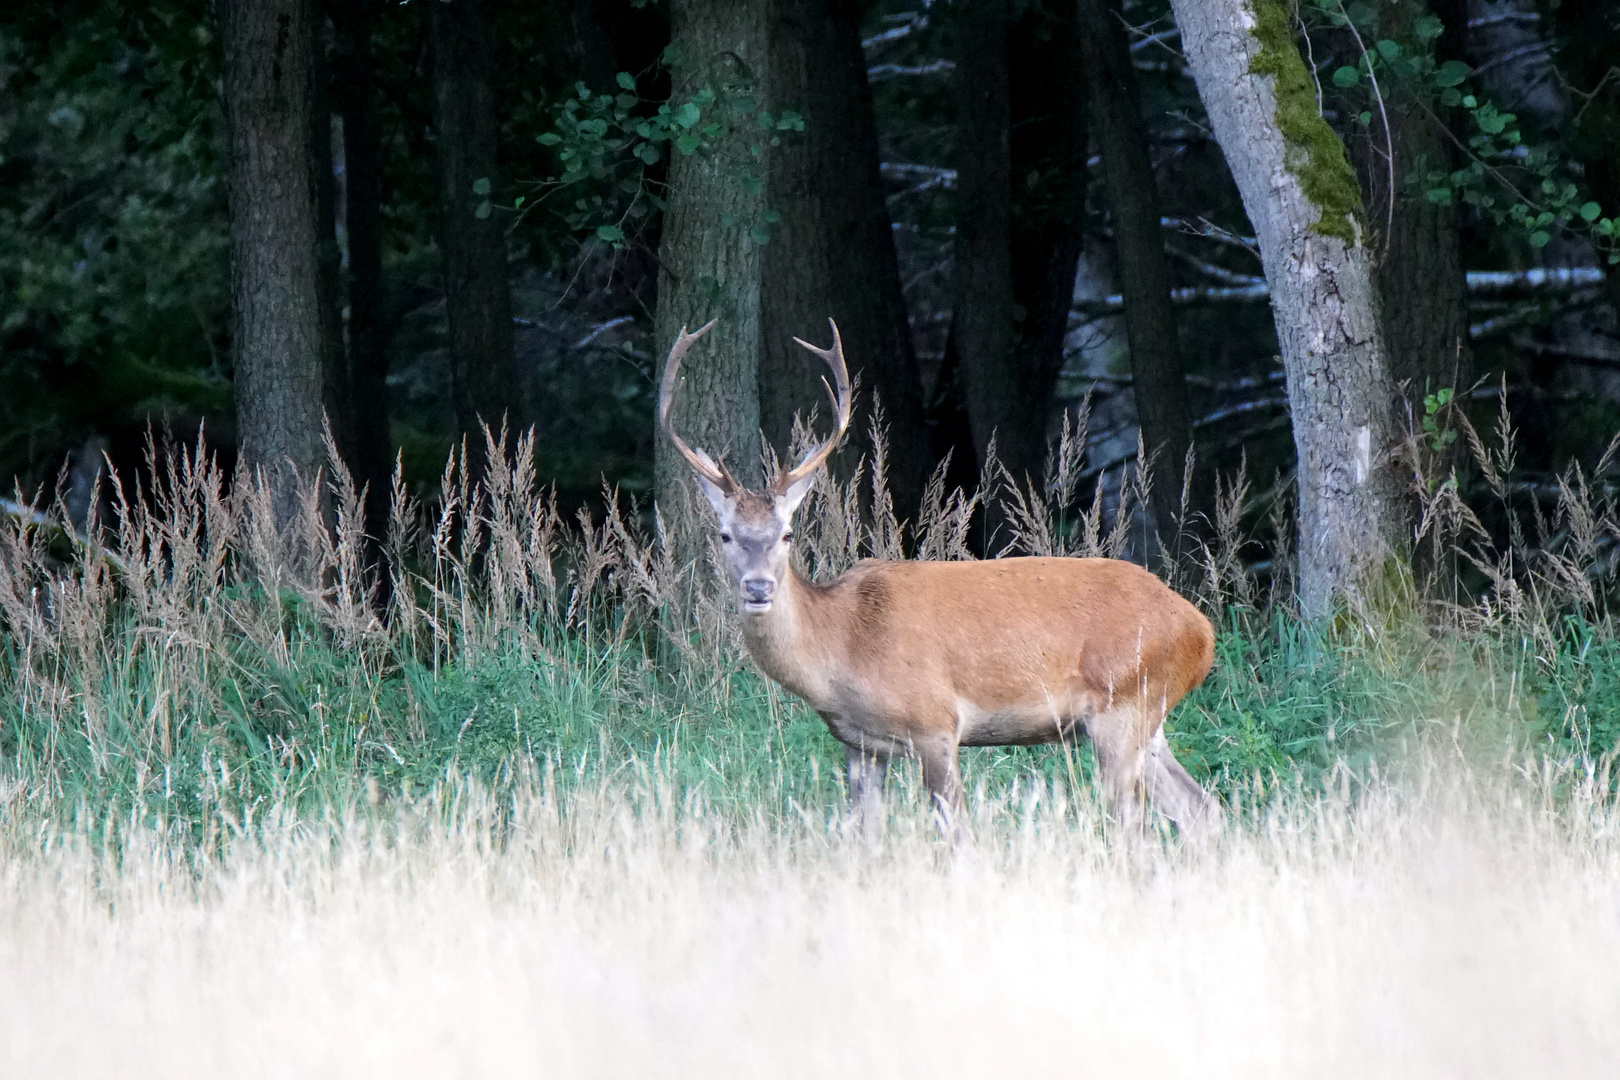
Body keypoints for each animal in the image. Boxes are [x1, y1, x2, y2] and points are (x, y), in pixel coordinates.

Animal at [660, 318, 1220, 843]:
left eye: (787, 534)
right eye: (725, 535)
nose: (758, 588)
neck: (842, 643)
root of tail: (1202, 630)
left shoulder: (935, 722)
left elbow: (957, 836)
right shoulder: (859, 745)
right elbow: (862, 838)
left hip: (1122, 705)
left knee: (1135, 826)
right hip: (1146, 720)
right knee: (1200, 808)